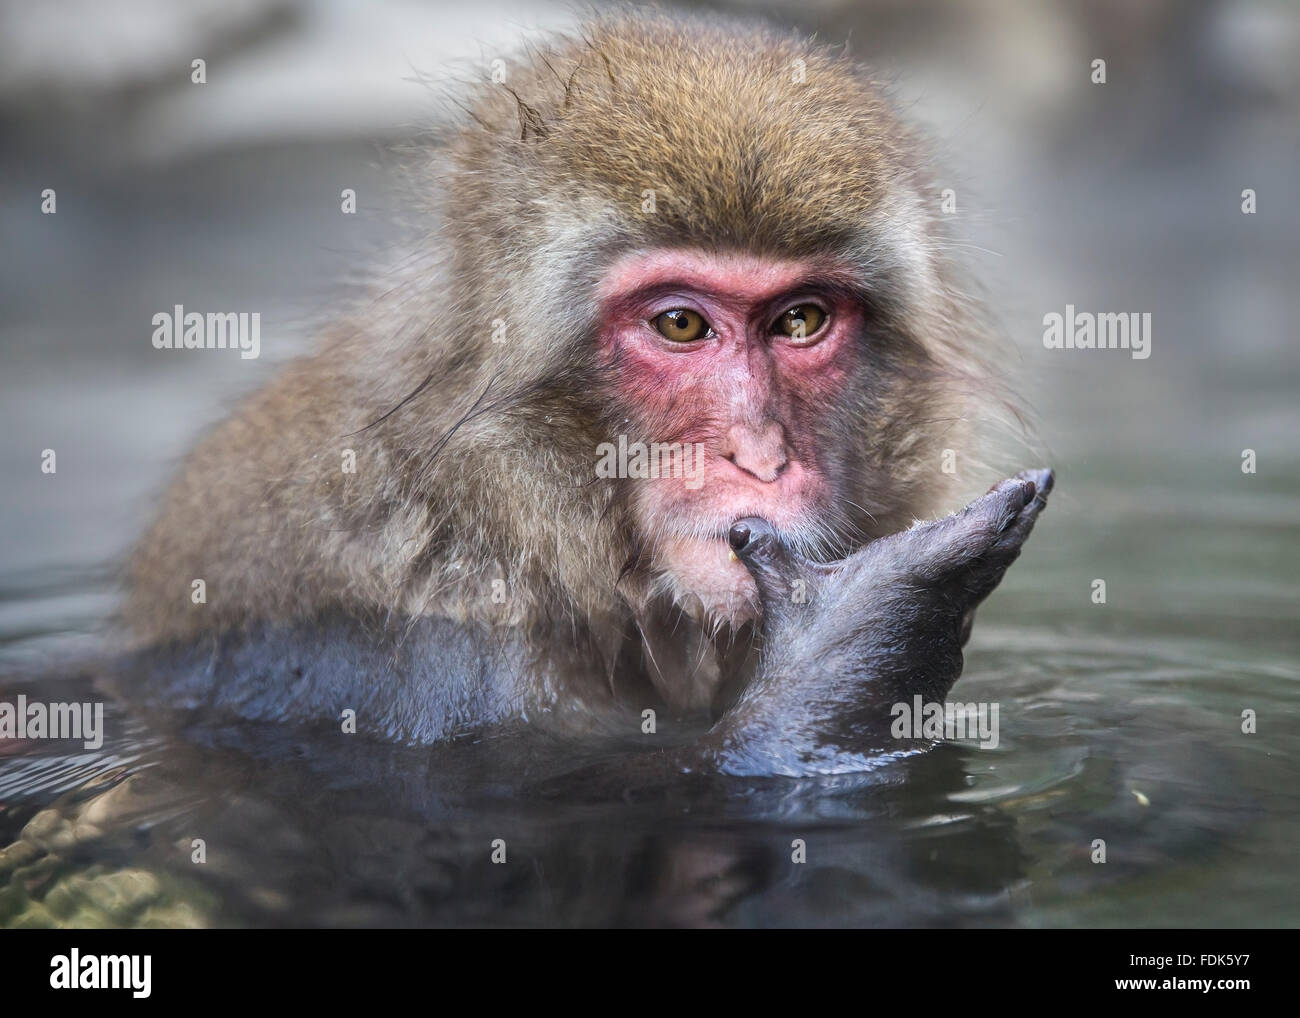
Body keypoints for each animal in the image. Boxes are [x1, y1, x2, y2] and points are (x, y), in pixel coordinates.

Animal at [117, 12, 1054, 776]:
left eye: (801, 320)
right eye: (681, 324)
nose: (759, 455)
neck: (508, 513)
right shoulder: (425, 649)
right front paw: (876, 621)